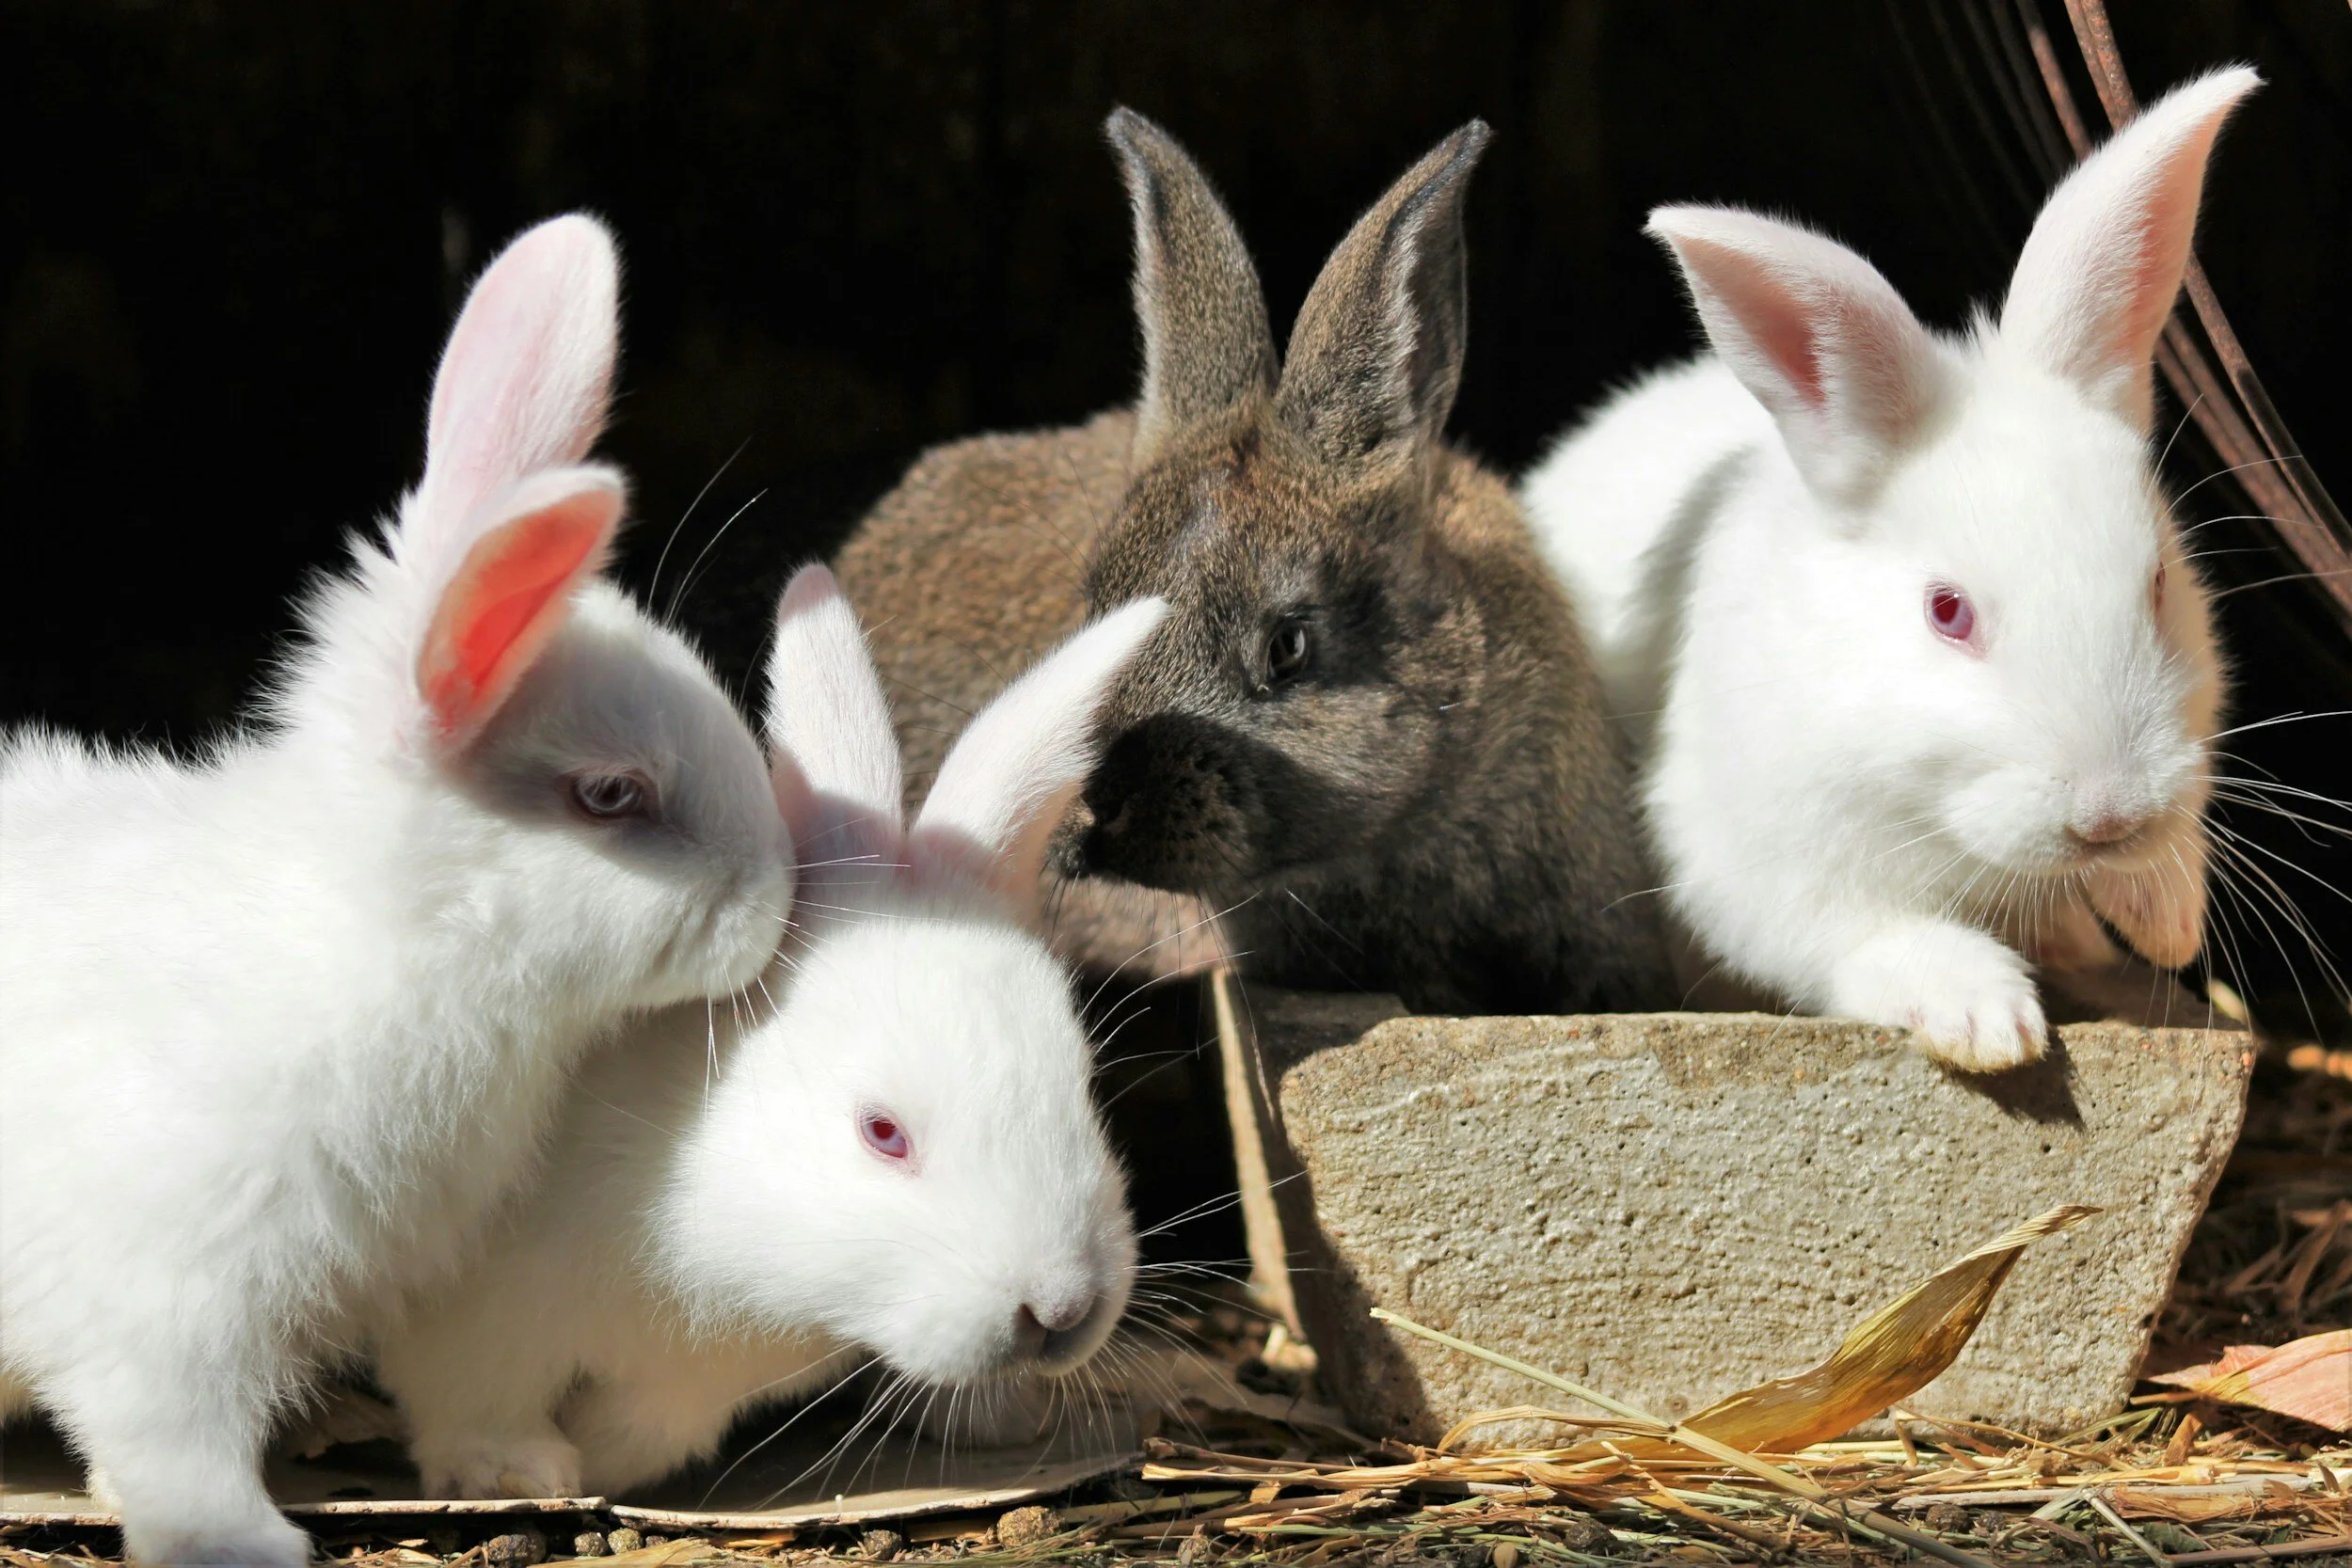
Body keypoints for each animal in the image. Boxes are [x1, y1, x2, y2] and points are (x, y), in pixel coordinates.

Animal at [0, 214, 794, 1565]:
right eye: (611, 796)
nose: (780, 897)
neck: (387, 938)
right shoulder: (170, 1290)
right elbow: (168, 1435)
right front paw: (244, 1540)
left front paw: (519, 1462)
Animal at [374, 565, 1160, 1501]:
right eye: (882, 1132)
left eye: (1084, 1084)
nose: (1062, 1309)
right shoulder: (479, 1317)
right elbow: (473, 1402)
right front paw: (520, 1473)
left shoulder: (685, 1389)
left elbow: (642, 1432)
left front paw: (596, 1457)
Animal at [1517, 69, 2258, 1071]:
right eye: (1947, 612)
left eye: (2157, 585)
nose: (2109, 819)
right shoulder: (1756, 856)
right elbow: (1867, 933)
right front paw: (1988, 1020)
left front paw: (2166, 918)